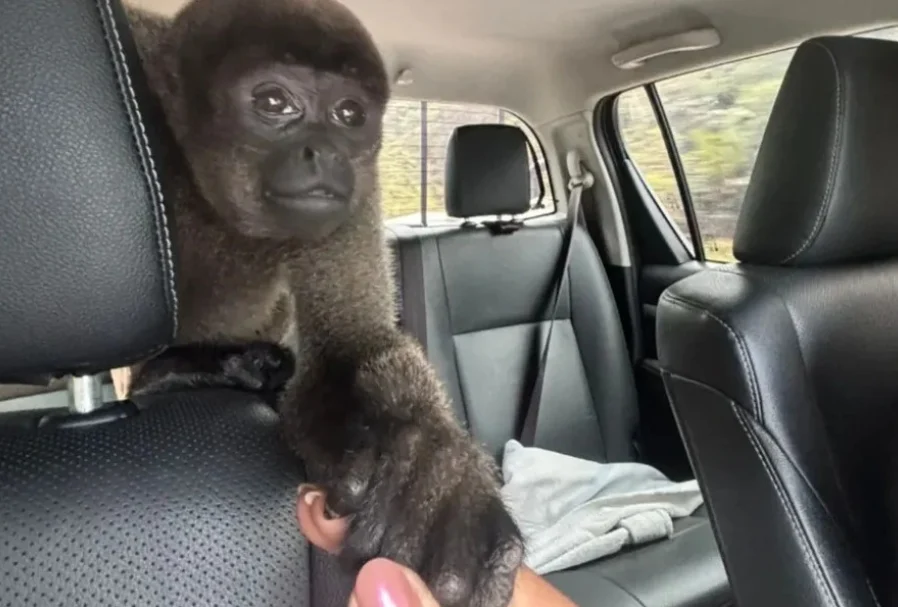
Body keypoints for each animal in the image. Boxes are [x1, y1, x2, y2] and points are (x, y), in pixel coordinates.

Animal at [117, 1, 525, 605]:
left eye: (349, 114)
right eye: (273, 102)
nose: (327, 154)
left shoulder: (359, 189)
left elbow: (349, 349)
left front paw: (436, 470)